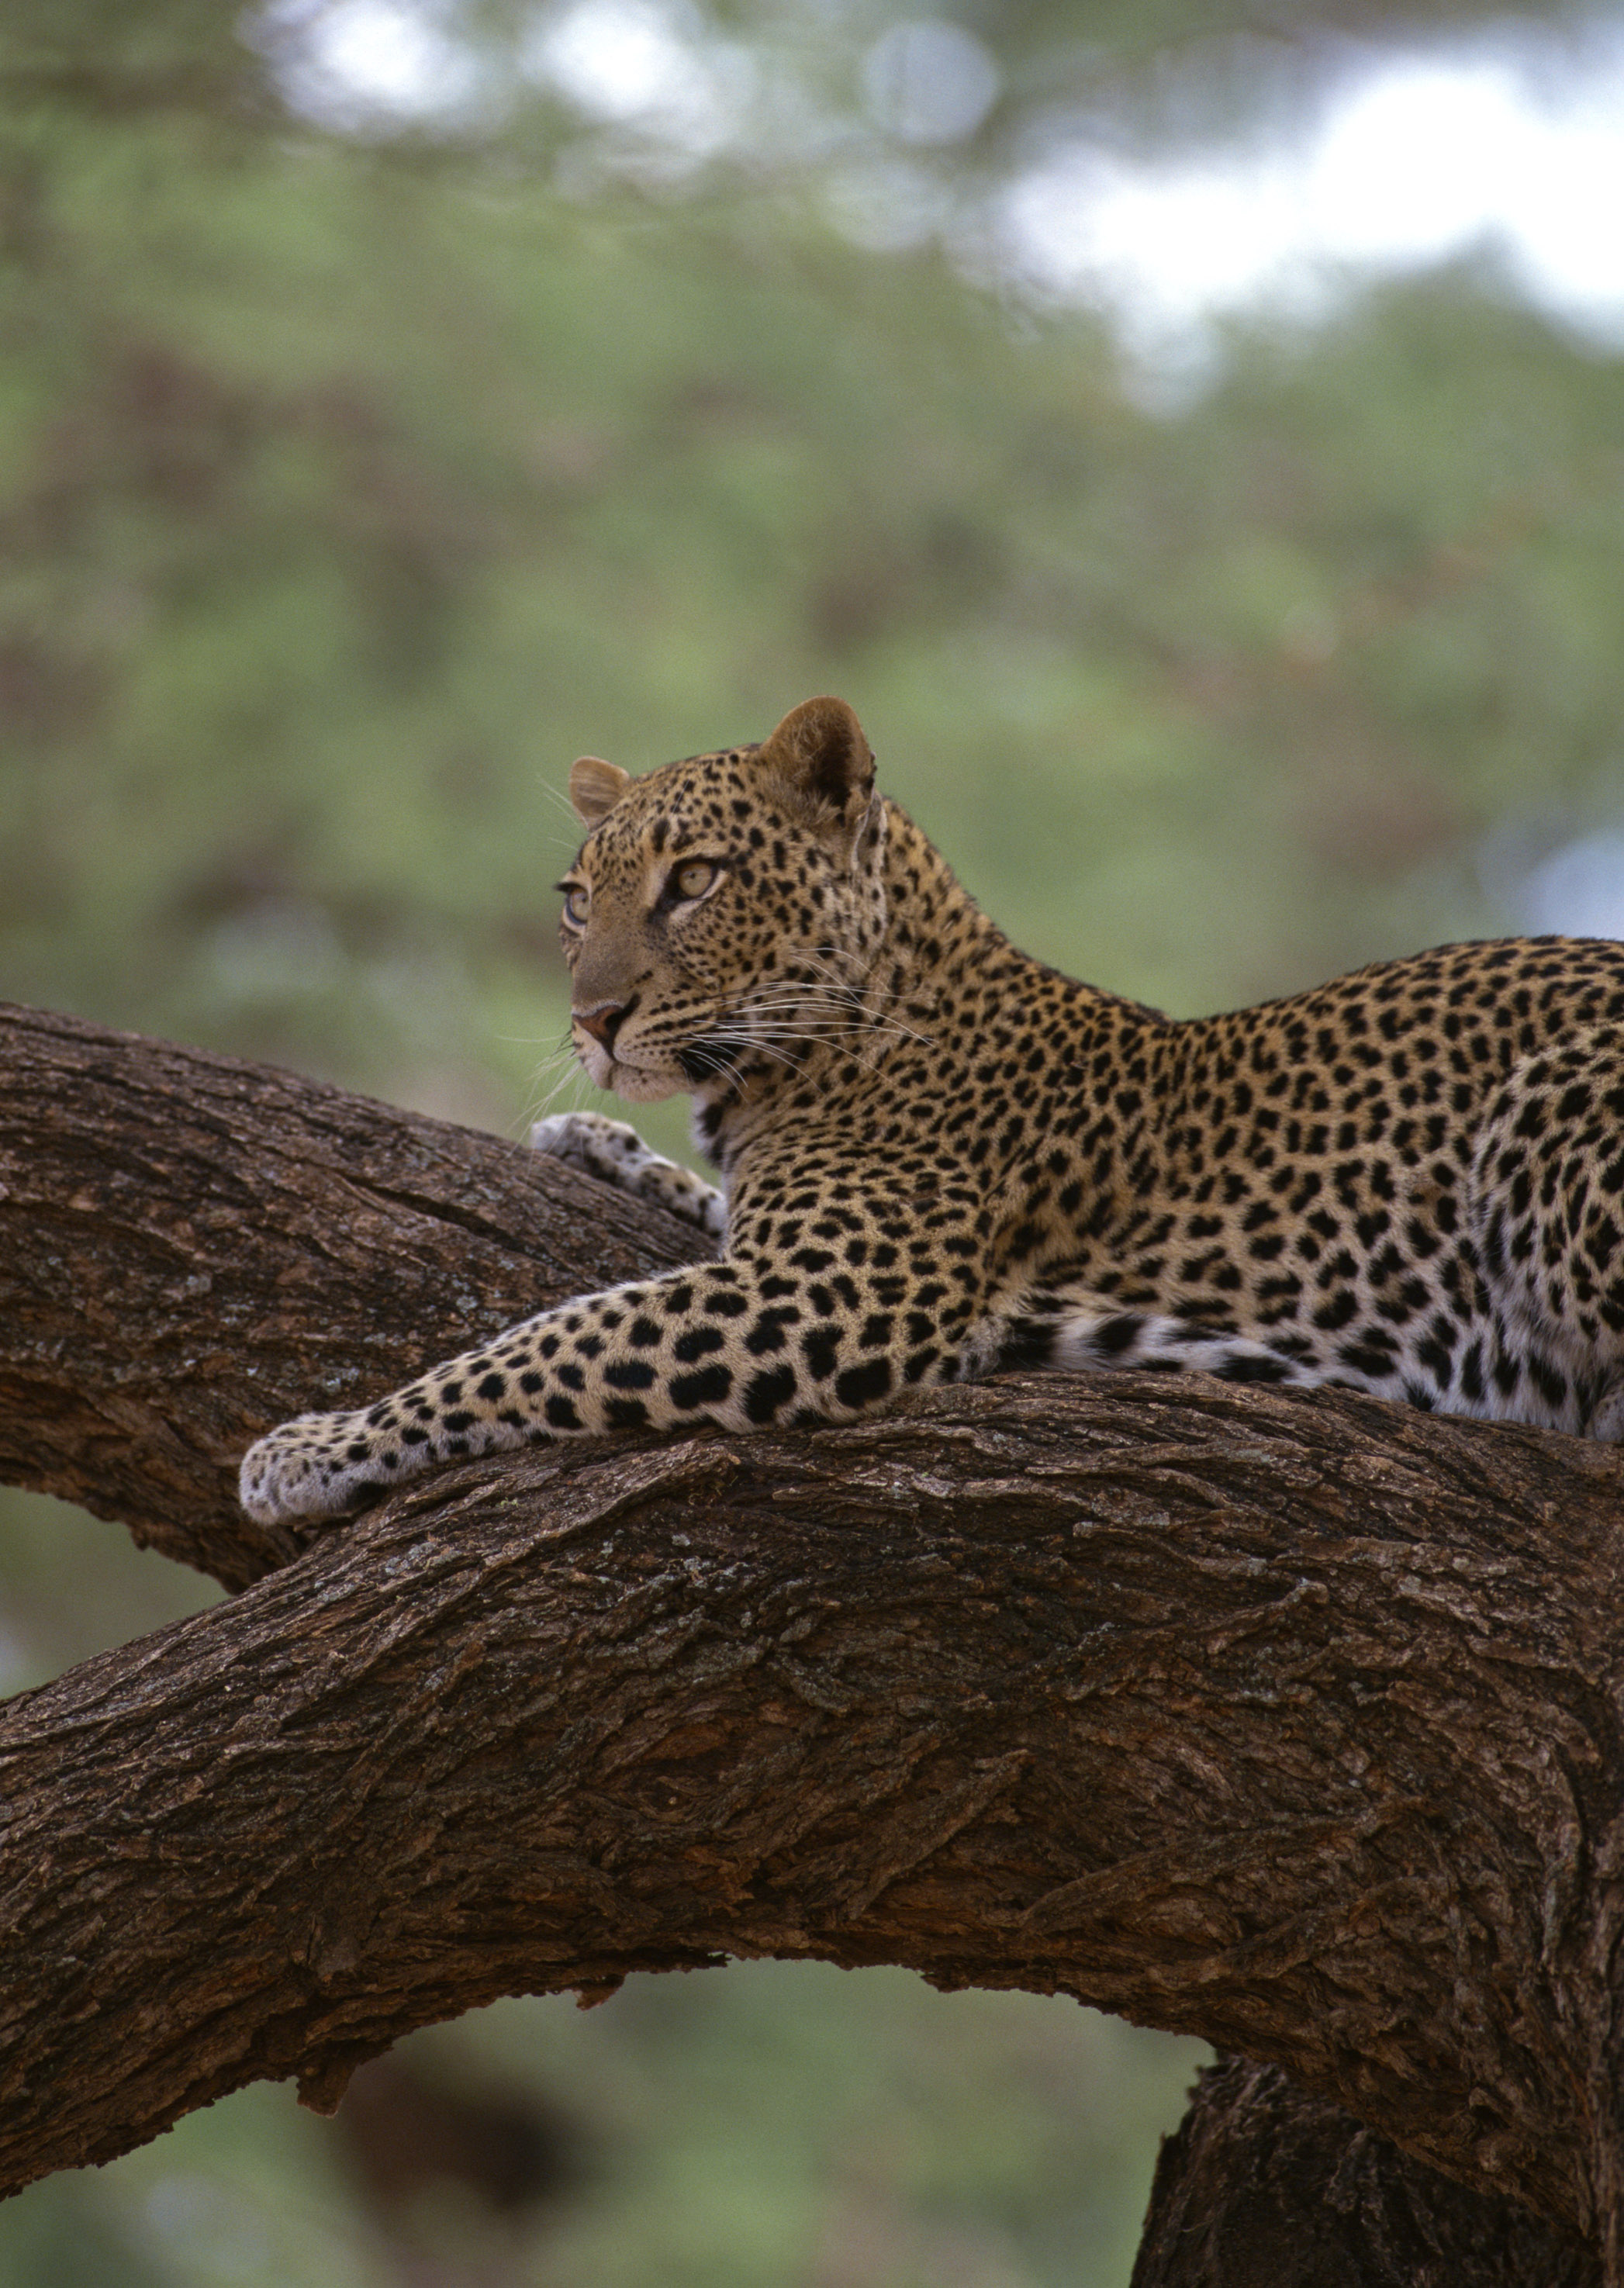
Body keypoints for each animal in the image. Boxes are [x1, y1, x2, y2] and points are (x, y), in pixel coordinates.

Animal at [240, 694, 1624, 1526]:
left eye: (694, 881)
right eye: (579, 898)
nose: (592, 1021)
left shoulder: (826, 1291)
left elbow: (544, 1338)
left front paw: (314, 1445)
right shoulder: (786, 1246)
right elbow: (680, 1219)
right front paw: (599, 1145)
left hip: (1549, 1105)